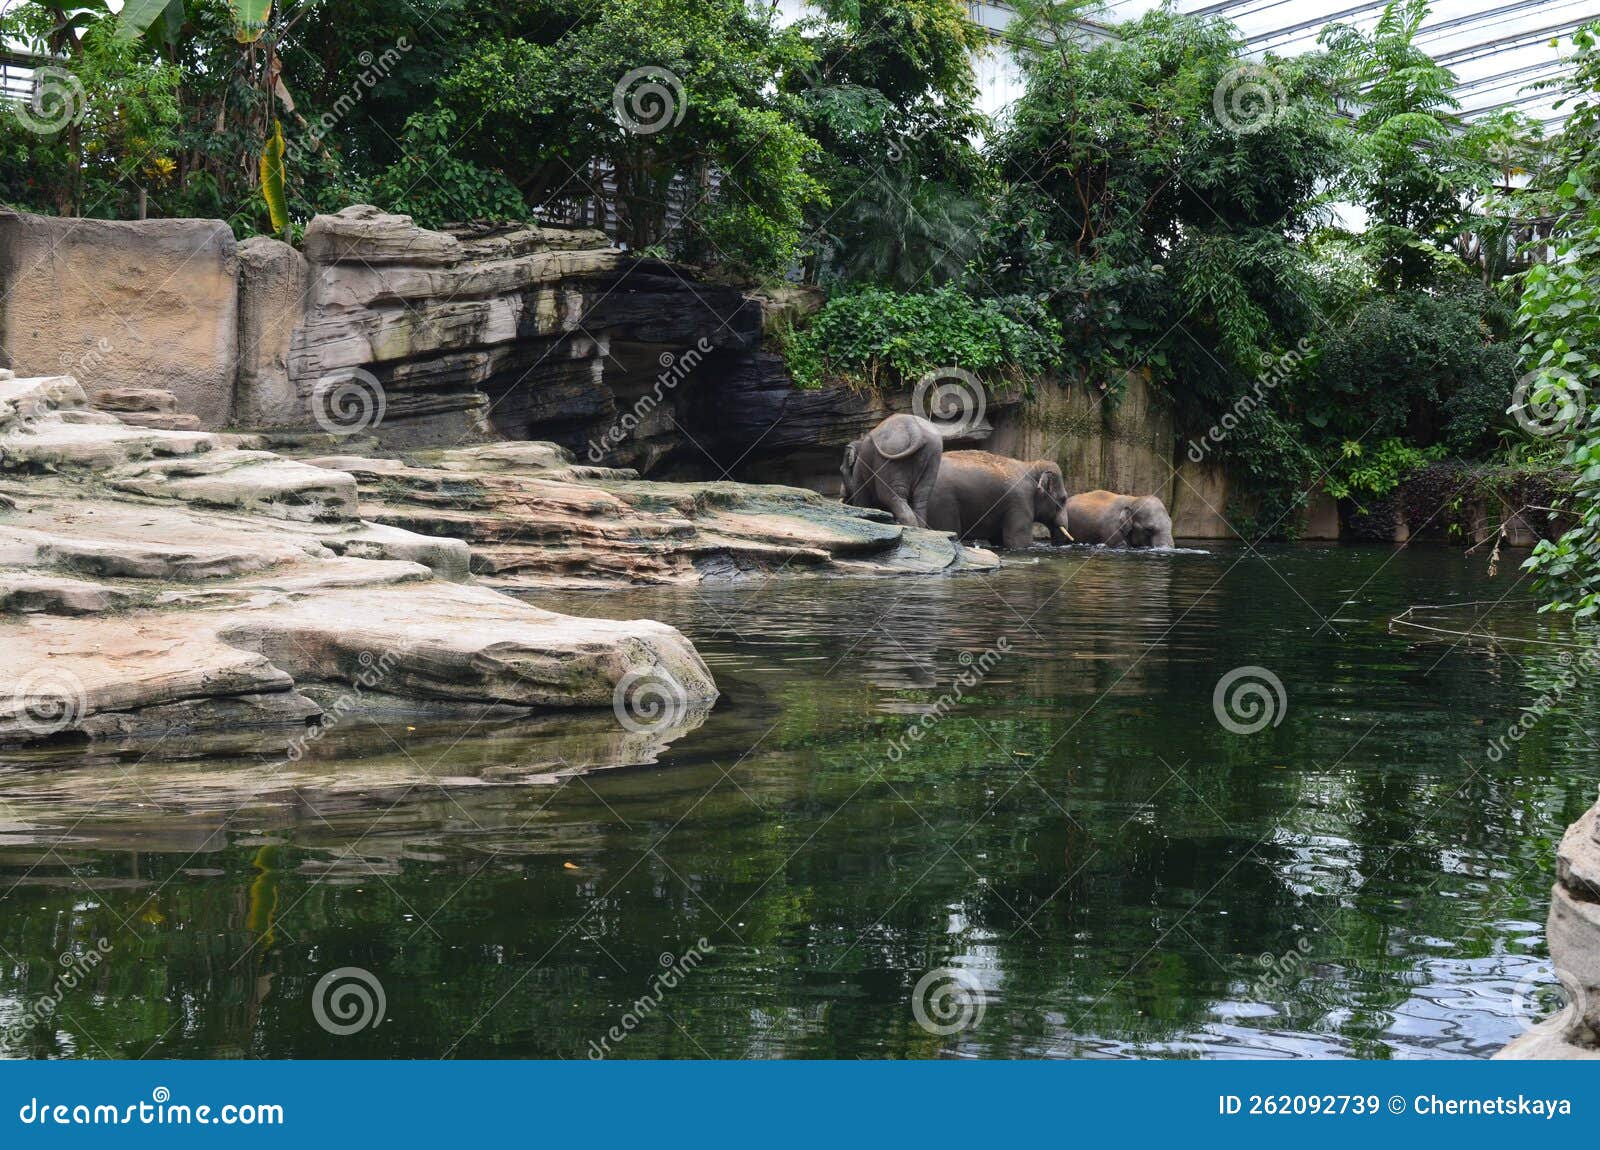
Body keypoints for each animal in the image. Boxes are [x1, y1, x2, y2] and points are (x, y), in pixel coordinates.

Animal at [926, 450, 1073, 550]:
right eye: (1063, 499)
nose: (1055, 545)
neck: (1030, 466)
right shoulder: (1020, 501)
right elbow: (1018, 540)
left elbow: (999, 539)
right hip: (942, 502)